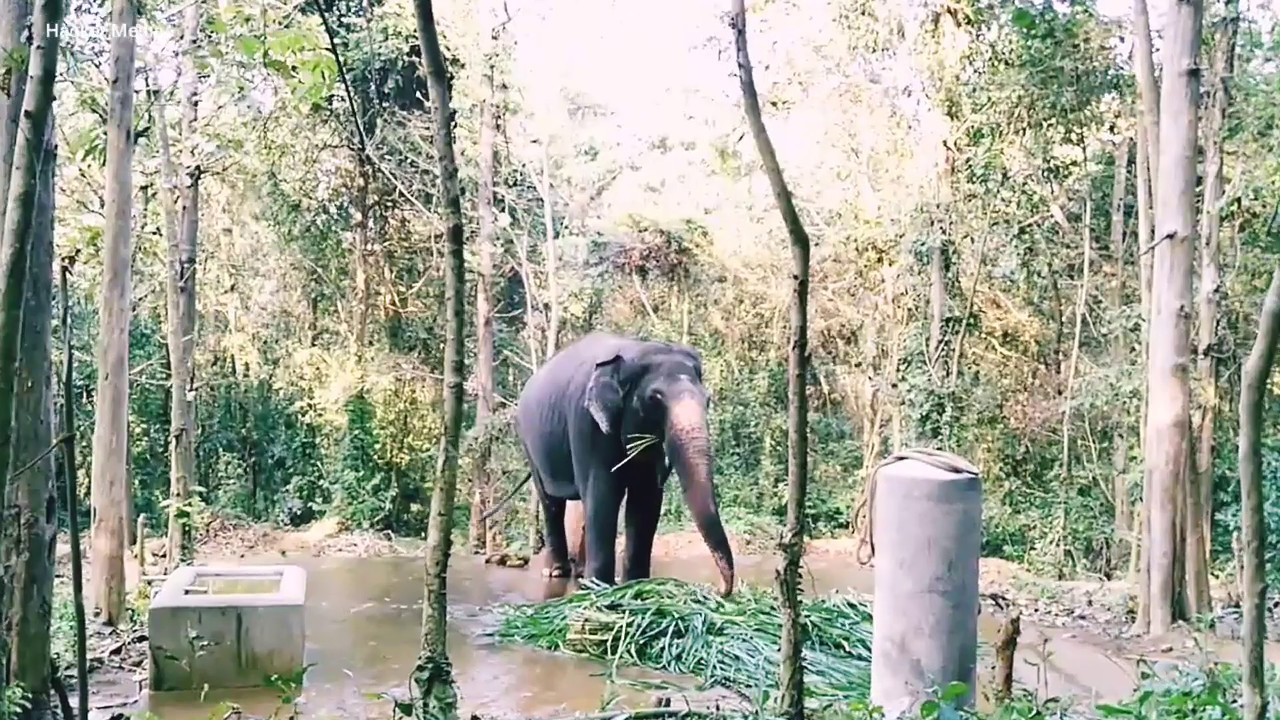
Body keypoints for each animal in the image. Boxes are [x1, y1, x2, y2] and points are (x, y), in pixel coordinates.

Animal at [513, 331, 736, 596]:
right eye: (655, 398)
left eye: (708, 399)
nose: (719, 590)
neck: (636, 352)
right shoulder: (587, 424)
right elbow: (603, 495)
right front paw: (599, 587)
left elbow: (646, 501)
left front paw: (636, 583)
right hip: (530, 445)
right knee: (551, 502)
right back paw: (556, 572)